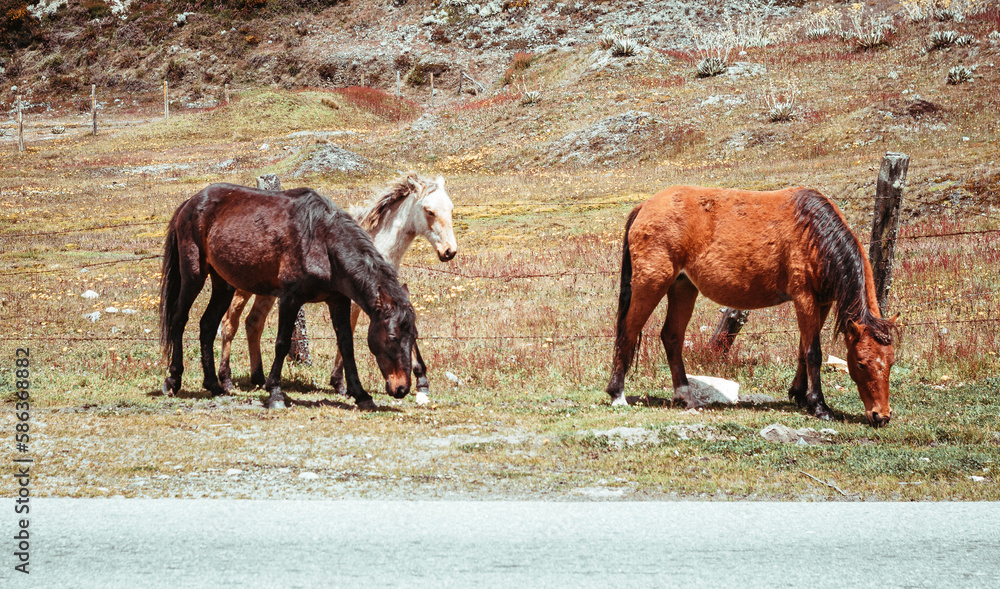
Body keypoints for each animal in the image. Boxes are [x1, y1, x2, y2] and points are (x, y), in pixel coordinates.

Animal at [159, 183, 420, 410]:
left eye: (413, 337)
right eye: (393, 337)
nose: (402, 389)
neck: (322, 242)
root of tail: (191, 202)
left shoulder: (338, 300)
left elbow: (346, 344)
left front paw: (361, 395)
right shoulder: (290, 298)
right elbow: (282, 343)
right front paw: (275, 392)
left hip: (224, 285)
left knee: (208, 325)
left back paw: (214, 385)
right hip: (194, 276)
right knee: (179, 320)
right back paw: (173, 380)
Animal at [216, 173, 457, 404]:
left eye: (451, 208)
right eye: (429, 211)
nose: (449, 251)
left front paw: (421, 382)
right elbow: (346, 336)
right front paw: (341, 384)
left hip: (266, 293)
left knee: (253, 323)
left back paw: (258, 378)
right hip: (243, 288)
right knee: (230, 324)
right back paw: (227, 381)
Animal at [606, 185, 899, 428]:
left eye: (891, 361)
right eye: (860, 363)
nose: (881, 416)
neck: (815, 232)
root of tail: (644, 206)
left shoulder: (822, 302)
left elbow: (803, 350)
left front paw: (799, 395)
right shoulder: (804, 297)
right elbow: (813, 352)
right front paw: (819, 406)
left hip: (683, 287)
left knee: (672, 337)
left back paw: (686, 396)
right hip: (652, 283)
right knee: (628, 333)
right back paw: (617, 394)